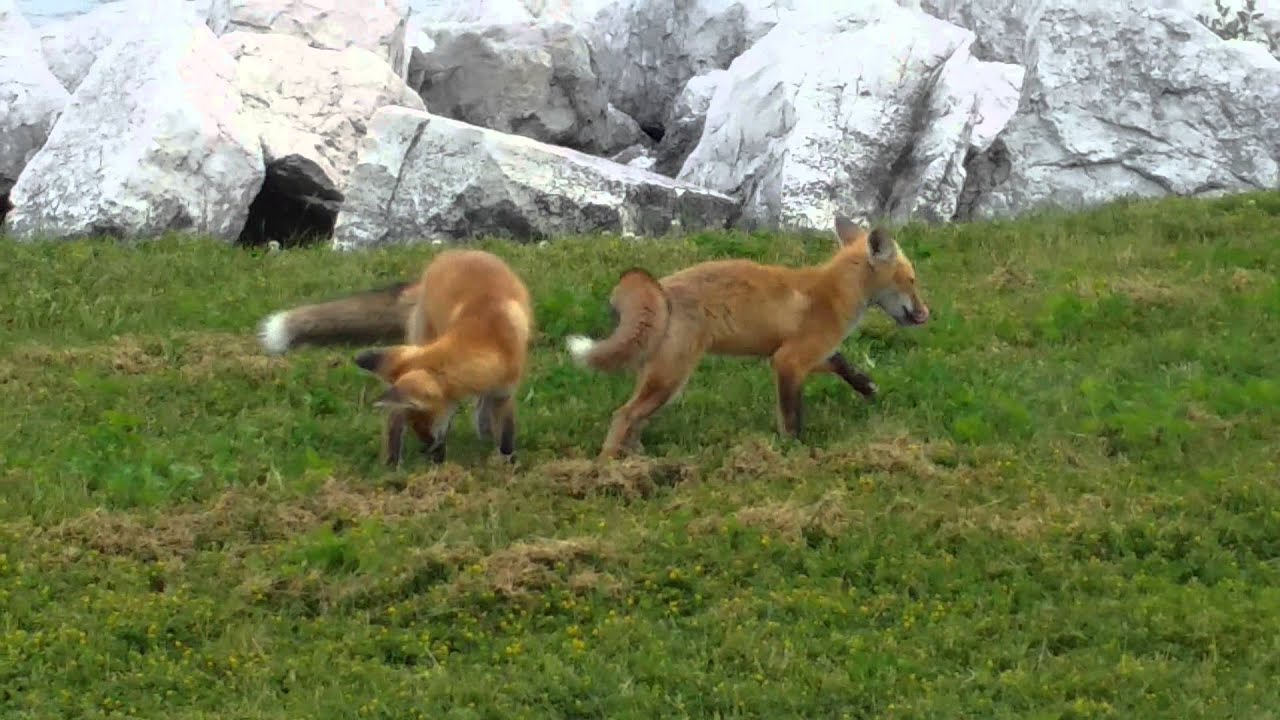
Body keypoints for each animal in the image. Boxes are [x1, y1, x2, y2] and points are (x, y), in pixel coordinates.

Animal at [257, 249, 534, 466]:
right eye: (416, 423)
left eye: (425, 420)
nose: (428, 450)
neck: (488, 332)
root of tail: (446, 256)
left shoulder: (504, 392)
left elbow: (505, 433)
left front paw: (506, 460)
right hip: (416, 344)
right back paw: (392, 464)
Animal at [564, 216, 930, 459]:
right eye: (912, 280)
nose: (926, 314)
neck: (833, 294)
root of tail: (662, 289)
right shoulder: (788, 361)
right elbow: (791, 416)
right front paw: (794, 451)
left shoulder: (803, 353)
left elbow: (841, 364)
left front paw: (866, 386)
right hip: (671, 378)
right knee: (623, 415)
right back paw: (608, 468)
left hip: (660, 378)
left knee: (635, 417)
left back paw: (636, 457)